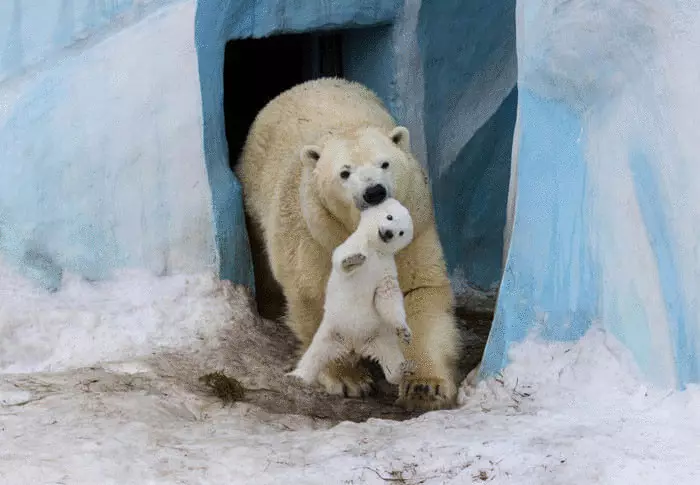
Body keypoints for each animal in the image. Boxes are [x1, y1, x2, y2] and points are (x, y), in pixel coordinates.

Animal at [238, 77, 462, 410]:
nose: (374, 192)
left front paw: (425, 386)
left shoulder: (415, 228)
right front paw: (348, 379)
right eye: (345, 173)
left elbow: (416, 290)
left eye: (385, 163)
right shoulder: (316, 237)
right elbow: (317, 297)